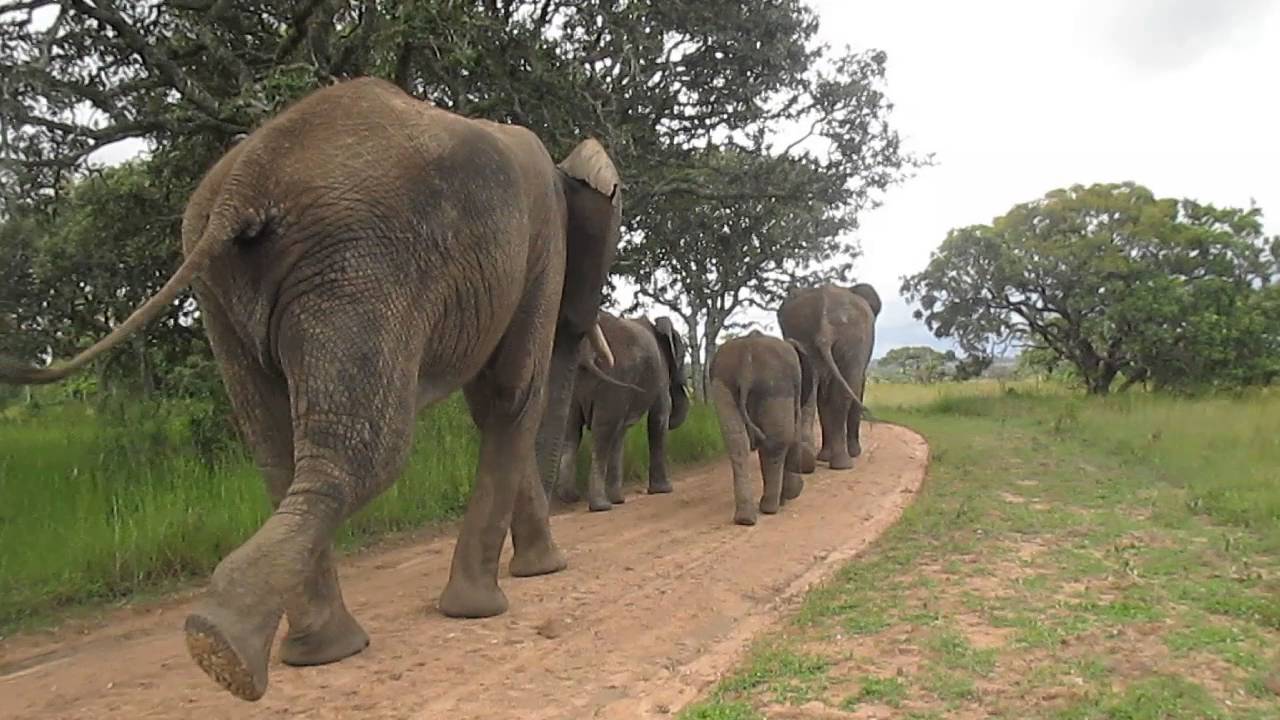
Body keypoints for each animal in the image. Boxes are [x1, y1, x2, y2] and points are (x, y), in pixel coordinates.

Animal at [0, 77, 623, 702]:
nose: (556, 552)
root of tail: (243, 186)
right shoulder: (539, 246)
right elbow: (512, 394)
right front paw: (496, 600)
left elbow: (493, 401)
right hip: (359, 263)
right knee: (367, 450)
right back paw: (229, 647)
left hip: (236, 289)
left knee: (278, 451)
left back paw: (284, 650)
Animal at [553, 310, 690, 511]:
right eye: (682, 356)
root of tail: (585, 348)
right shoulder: (660, 374)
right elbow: (658, 418)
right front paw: (664, 490)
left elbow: (620, 432)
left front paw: (618, 500)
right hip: (613, 376)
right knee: (603, 433)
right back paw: (601, 506)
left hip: (573, 380)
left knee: (572, 431)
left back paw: (570, 497)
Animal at [707, 330, 814, 526]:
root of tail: (746, 360)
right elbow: (793, 434)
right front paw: (792, 494)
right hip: (775, 387)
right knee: (776, 443)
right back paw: (769, 508)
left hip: (723, 384)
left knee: (737, 442)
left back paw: (745, 519)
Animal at [777, 282, 880, 472]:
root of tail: (825, 326)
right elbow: (855, 388)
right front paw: (855, 453)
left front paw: (824, 457)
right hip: (852, 339)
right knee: (843, 394)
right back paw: (843, 464)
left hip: (803, 335)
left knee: (808, 384)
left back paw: (805, 460)